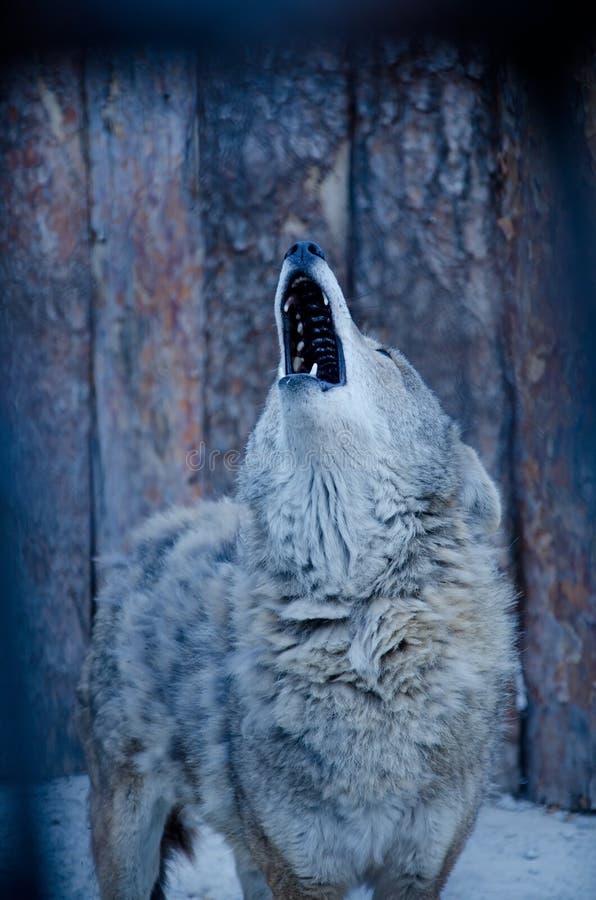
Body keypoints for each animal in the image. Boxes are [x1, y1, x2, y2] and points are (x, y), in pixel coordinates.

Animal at [78, 240, 515, 900]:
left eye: (387, 355)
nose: (303, 245)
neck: (361, 634)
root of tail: (153, 533)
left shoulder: (418, 872)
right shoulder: (305, 874)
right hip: (130, 835)